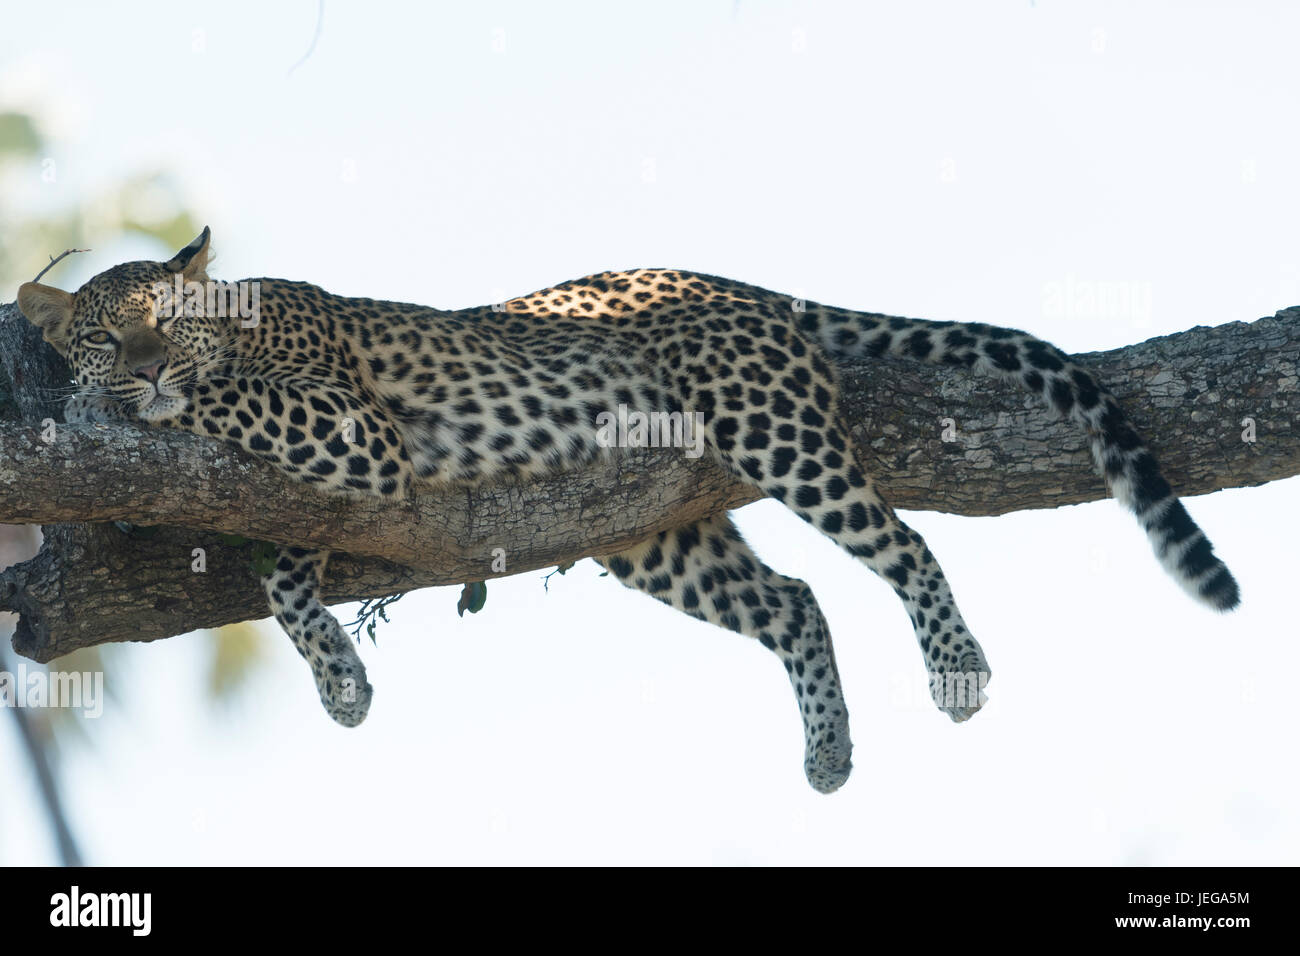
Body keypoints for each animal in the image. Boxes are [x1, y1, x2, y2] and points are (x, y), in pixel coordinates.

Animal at [16, 228, 1240, 793]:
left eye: (168, 318)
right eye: (105, 328)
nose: (141, 366)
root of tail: (735, 281)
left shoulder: (354, 432)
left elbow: (227, 409)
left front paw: (117, 399)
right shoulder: (315, 505)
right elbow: (280, 579)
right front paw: (344, 682)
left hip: (773, 427)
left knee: (905, 541)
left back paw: (956, 665)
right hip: (652, 531)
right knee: (794, 599)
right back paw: (830, 751)